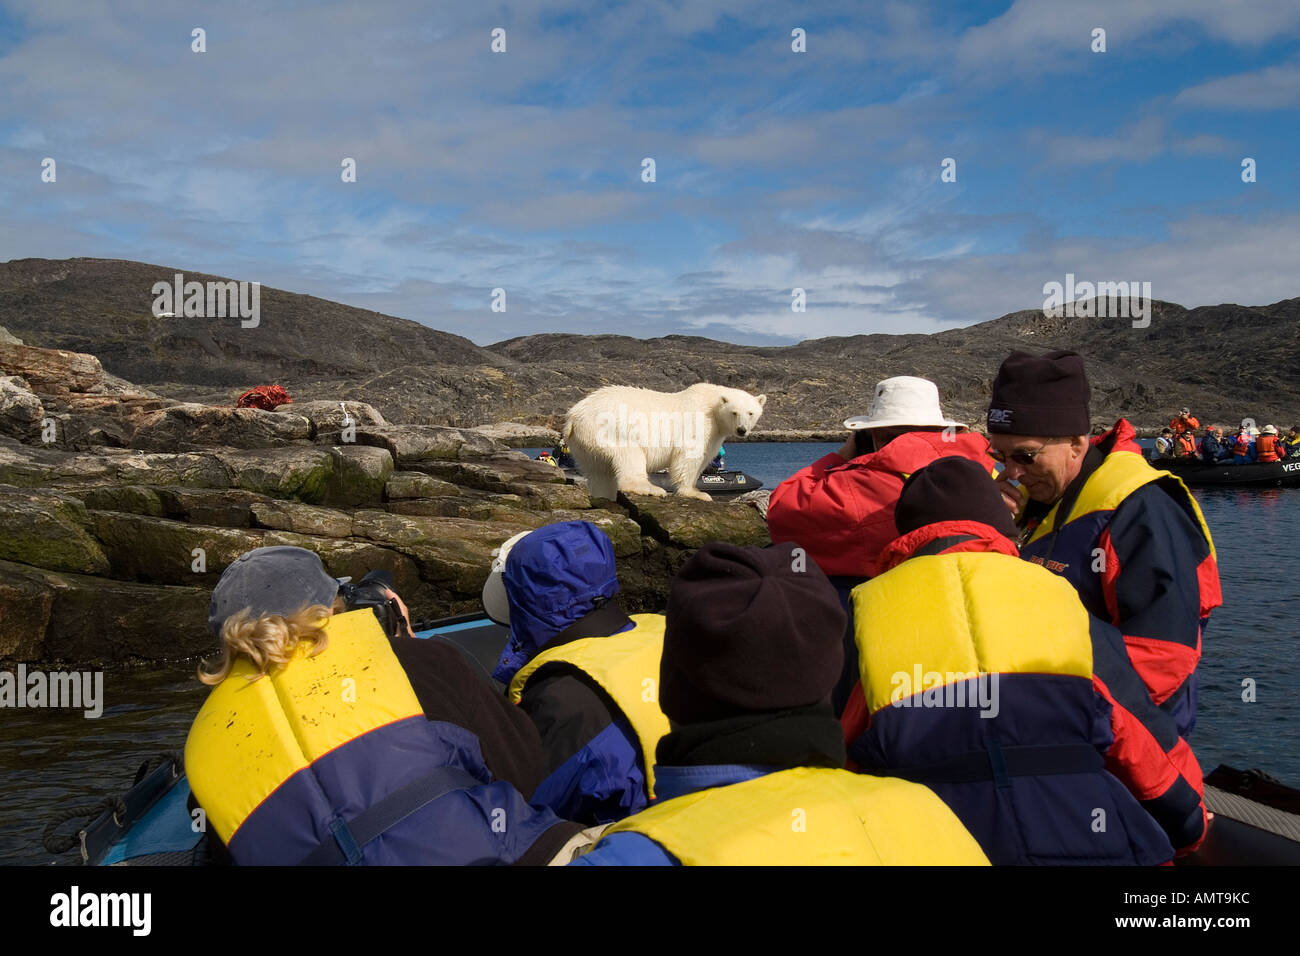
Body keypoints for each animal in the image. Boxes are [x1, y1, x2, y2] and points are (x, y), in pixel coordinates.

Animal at [562, 383, 767, 502]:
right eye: (734, 412)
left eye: (750, 413)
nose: (742, 430)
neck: (712, 405)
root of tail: (574, 415)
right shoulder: (699, 422)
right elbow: (687, 457)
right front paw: (696, 493)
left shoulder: (715, 434)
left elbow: (703, 457)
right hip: (610, 427)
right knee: (629, 456)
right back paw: (650, 489)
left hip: (585, 442)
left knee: (599, 471)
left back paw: (604, 495)